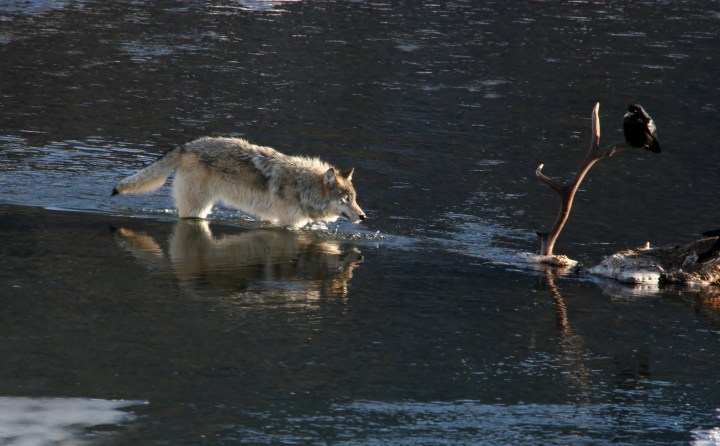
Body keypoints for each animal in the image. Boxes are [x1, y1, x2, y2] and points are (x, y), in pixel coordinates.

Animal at [112, 137, 366, 228]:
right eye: (346, 199)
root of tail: (186, 146)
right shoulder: (288, 224)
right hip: (197, 209)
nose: (363, 216)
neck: (303, 186)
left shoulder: (271, 218)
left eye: (354, 199)